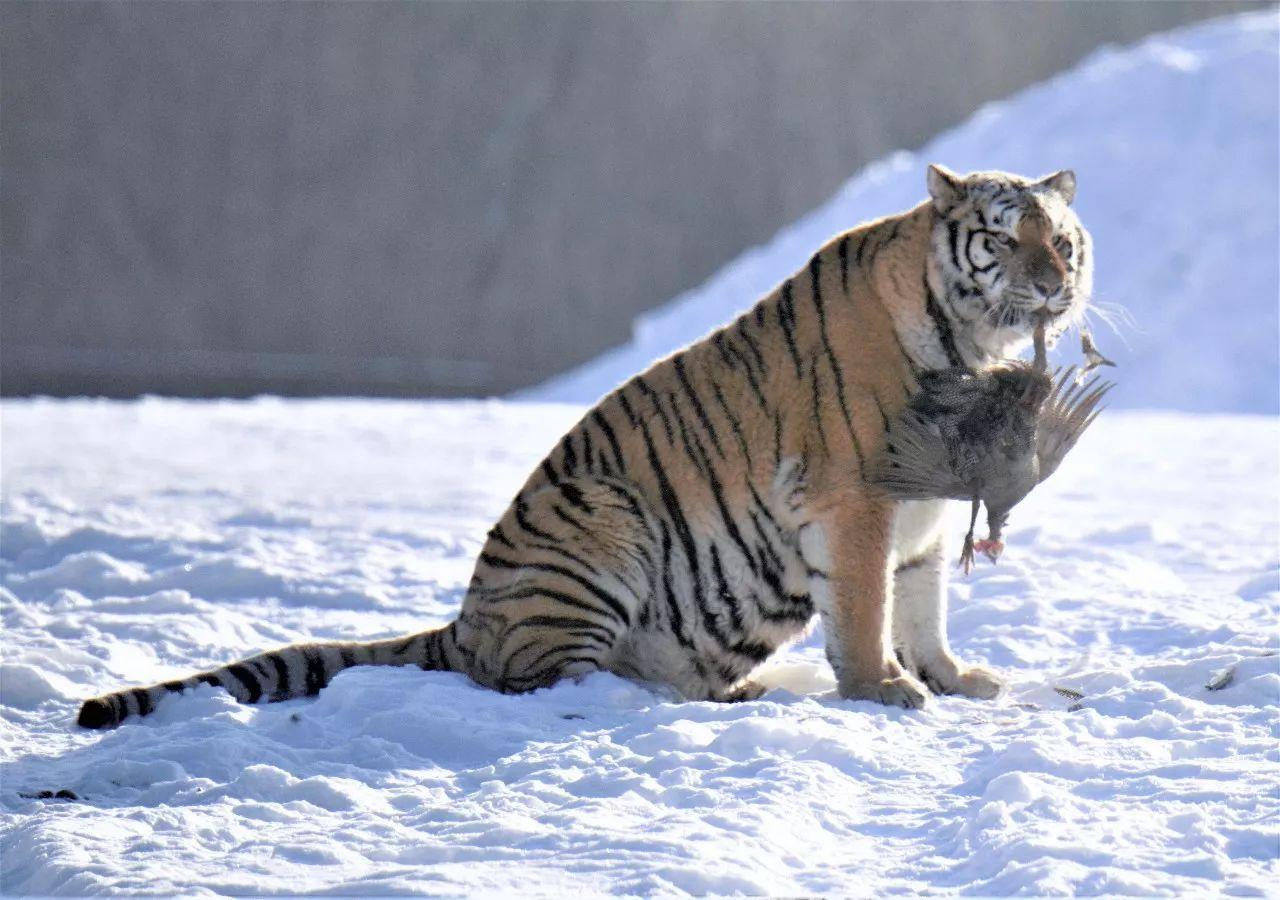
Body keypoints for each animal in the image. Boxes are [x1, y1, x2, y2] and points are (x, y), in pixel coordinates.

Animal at [78, 164, 1091, 728]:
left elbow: (922, 606)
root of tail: (464, 623)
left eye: (1062, 239)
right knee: (544, 682)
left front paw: (954, 680)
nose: (1053, 283)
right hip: (597, 518)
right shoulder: (857, 500)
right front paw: (885, 689)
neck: (973, 348)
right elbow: (868, 608)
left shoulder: (925, 512)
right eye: (1004, 237)